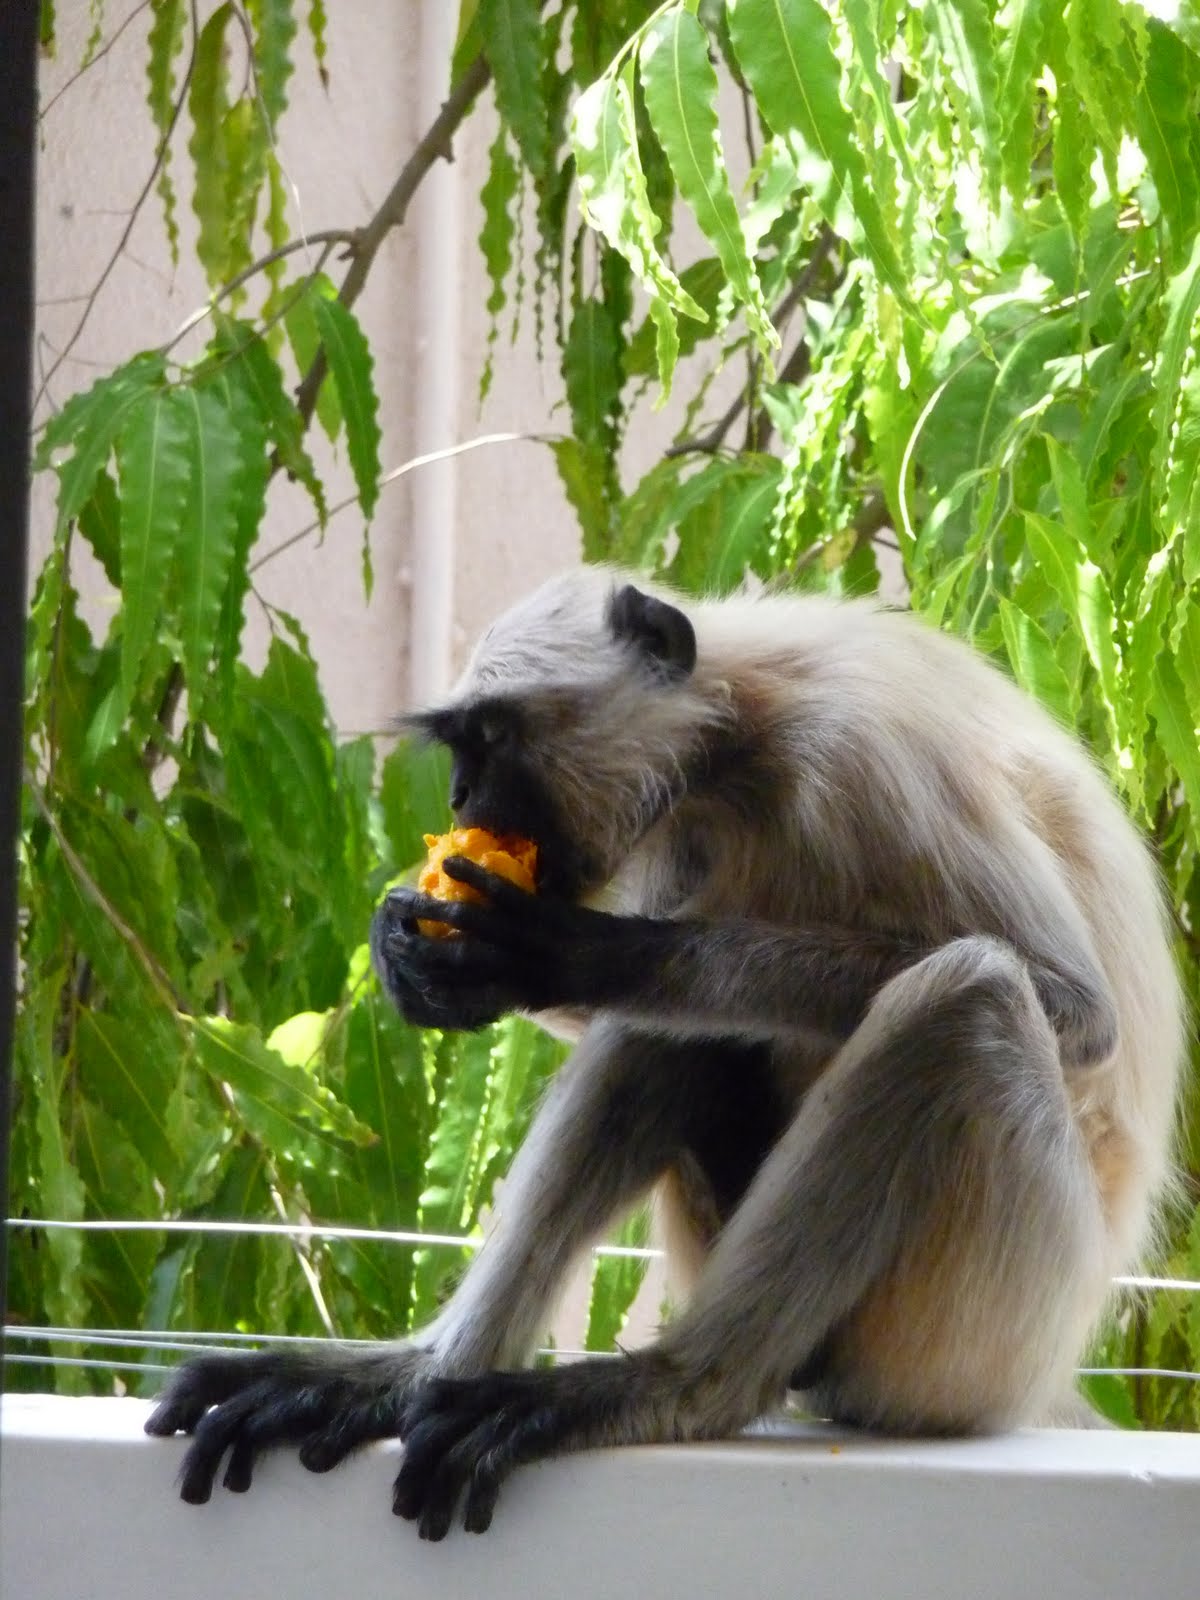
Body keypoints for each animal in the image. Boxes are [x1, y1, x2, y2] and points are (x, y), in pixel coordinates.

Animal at [146, 566, 1185, 1542]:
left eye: (491, 740)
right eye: (462, 750)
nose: (458, 797)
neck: (741, 742)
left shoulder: (871, 754)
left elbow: (1078, 1011)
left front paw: (592, 953)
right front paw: (416, 950)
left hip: (979, 1327)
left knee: (967, 997)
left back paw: (675, 1387)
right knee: (665, 1035)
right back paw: (417, 1375)